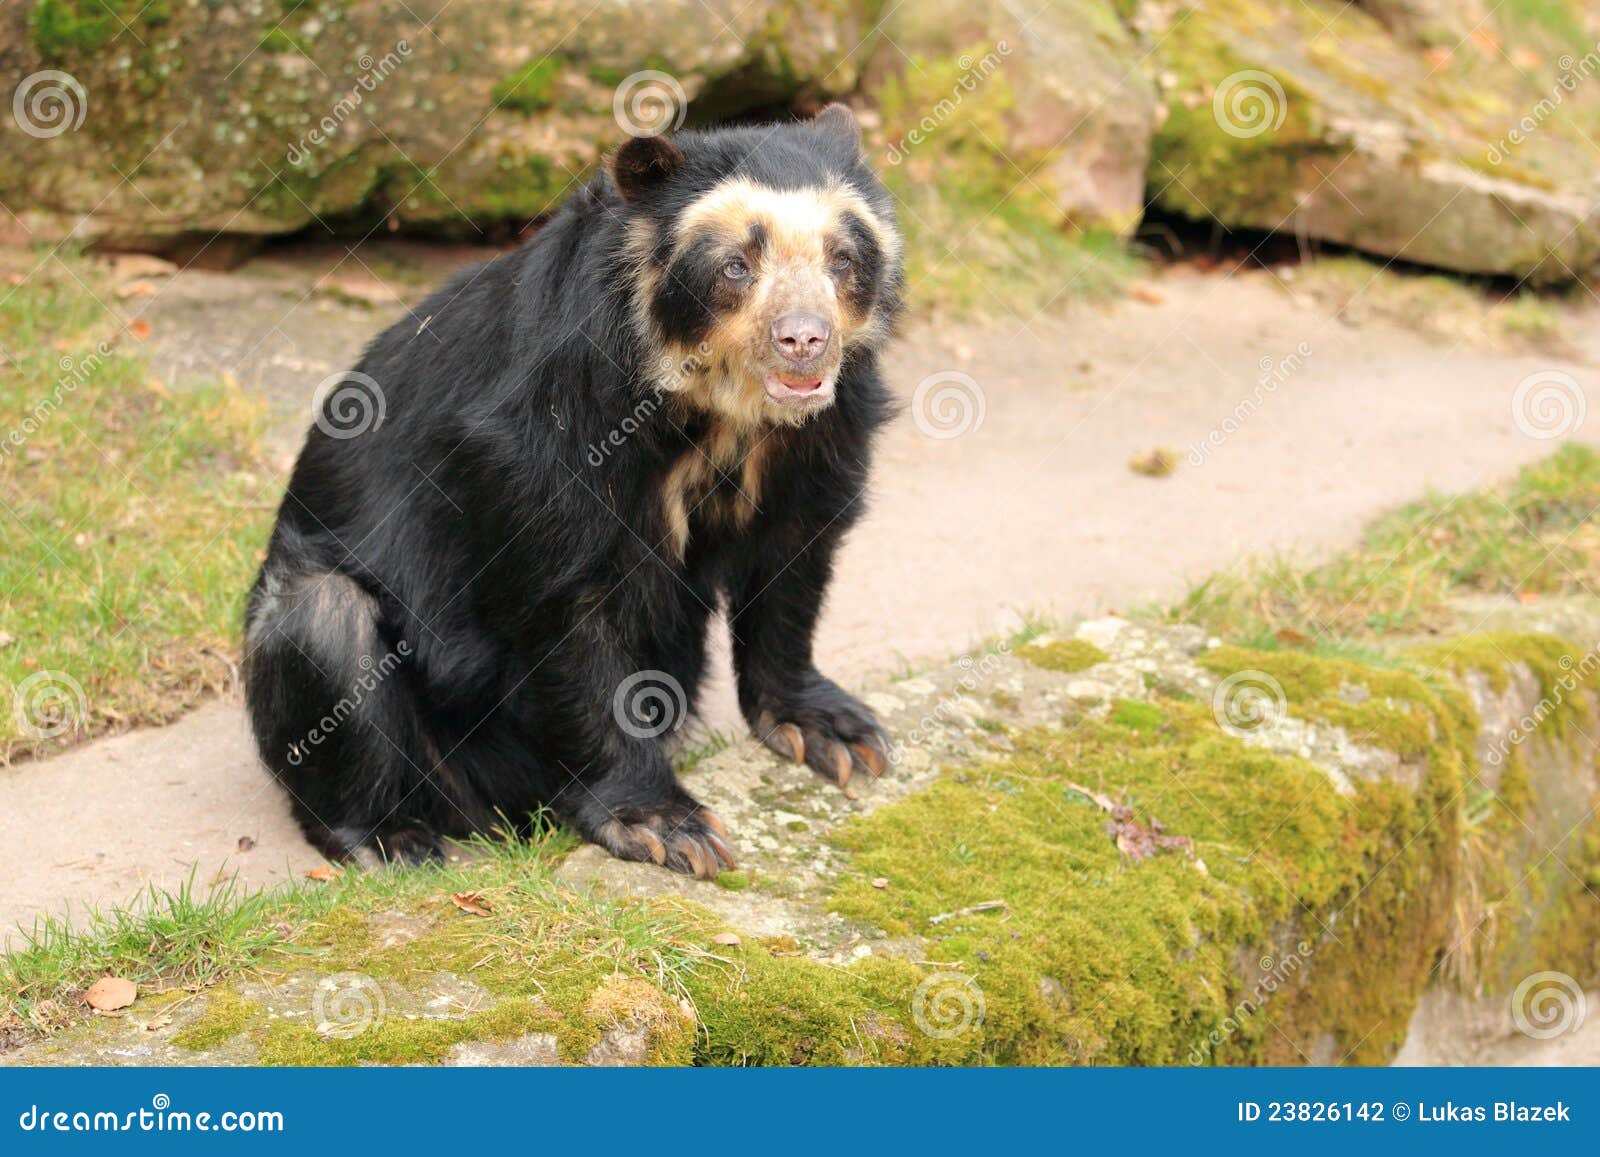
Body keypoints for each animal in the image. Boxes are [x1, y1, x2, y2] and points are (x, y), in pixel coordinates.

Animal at [244, 106, 908, 876]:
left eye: (842, 260)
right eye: (735, 267)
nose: (804, 340)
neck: (719, 406)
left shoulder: (826, 429)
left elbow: (794, 558)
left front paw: (836, 733)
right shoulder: (552, 426)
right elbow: (566, 605)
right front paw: (667, 824)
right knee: (325, 624)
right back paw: (391, 837)